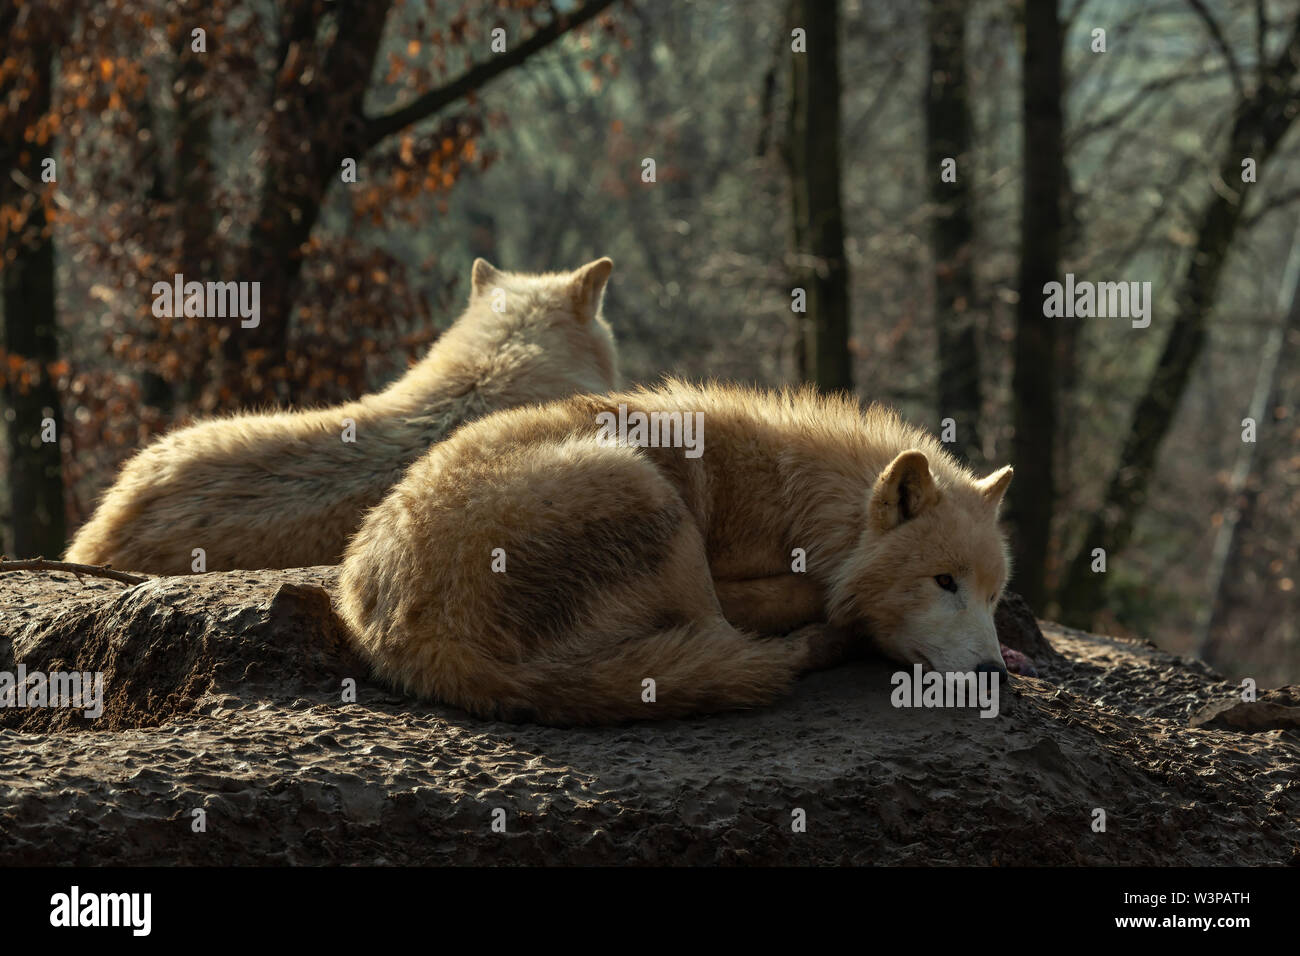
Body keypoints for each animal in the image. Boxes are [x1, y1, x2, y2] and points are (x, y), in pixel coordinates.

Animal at [337, 378, 1014, 725]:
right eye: (944, 582)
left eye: (992, 596)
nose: (995, 675)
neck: (797, 500)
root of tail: (420, 637)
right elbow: (806, 594)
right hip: (648, 491)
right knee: (738, 647)